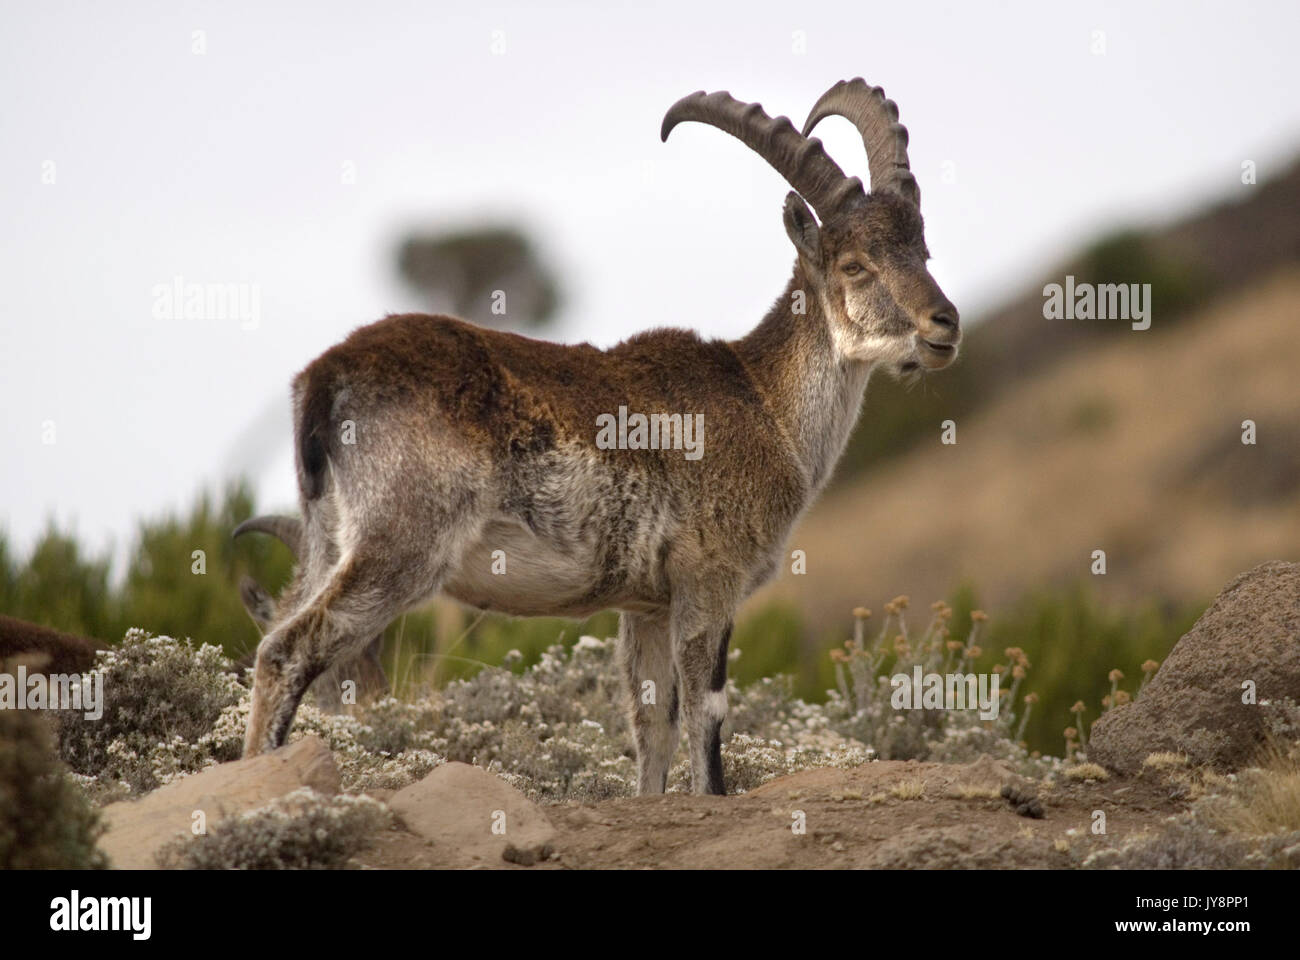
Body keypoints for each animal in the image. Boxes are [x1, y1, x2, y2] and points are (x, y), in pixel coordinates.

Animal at [241, 79, 960, 796]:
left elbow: (652, 725)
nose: (944, 324)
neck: (766, 403)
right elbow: (706, 719)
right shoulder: (710, 580)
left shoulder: (647, 605)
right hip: (402, 540)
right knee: (287, 649)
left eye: (922, 252)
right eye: (854, 264)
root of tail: (326, 376)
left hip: (328, 538)